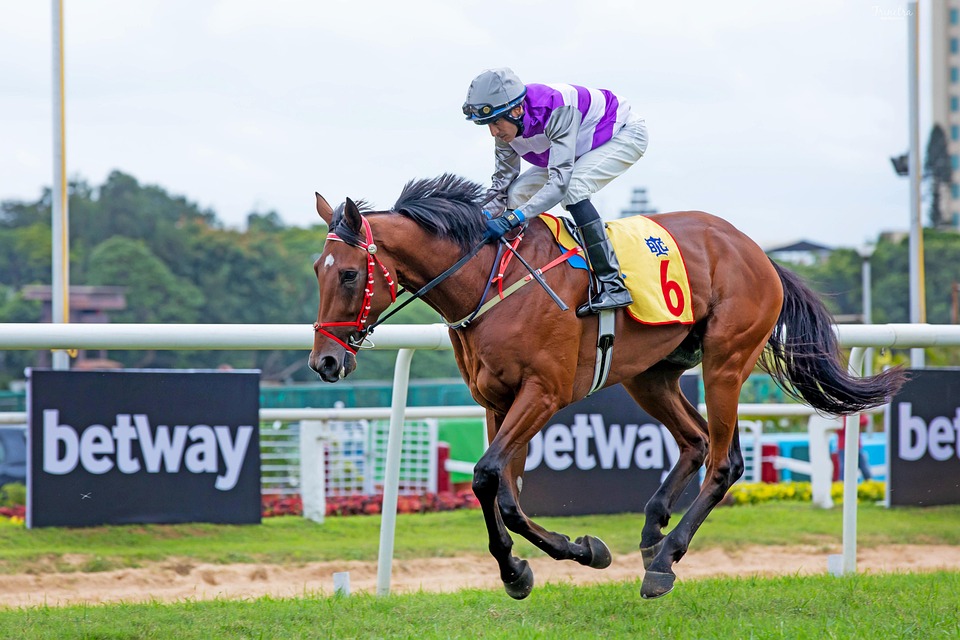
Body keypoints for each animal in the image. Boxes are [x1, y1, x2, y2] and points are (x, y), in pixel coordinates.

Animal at [308, 173, 904, 600]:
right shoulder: (496, 402)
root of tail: (759, 253)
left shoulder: (543, 394)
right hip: (650, 375)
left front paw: (554, 557)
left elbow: (487, 478)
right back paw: (651, 531)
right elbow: (502, 490)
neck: (488, 282)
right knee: (694, 441)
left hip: (725, 363)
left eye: (349, 274)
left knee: (724, 461)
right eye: (318, 268)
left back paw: (664, 561)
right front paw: (531, 566)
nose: (324, 362)